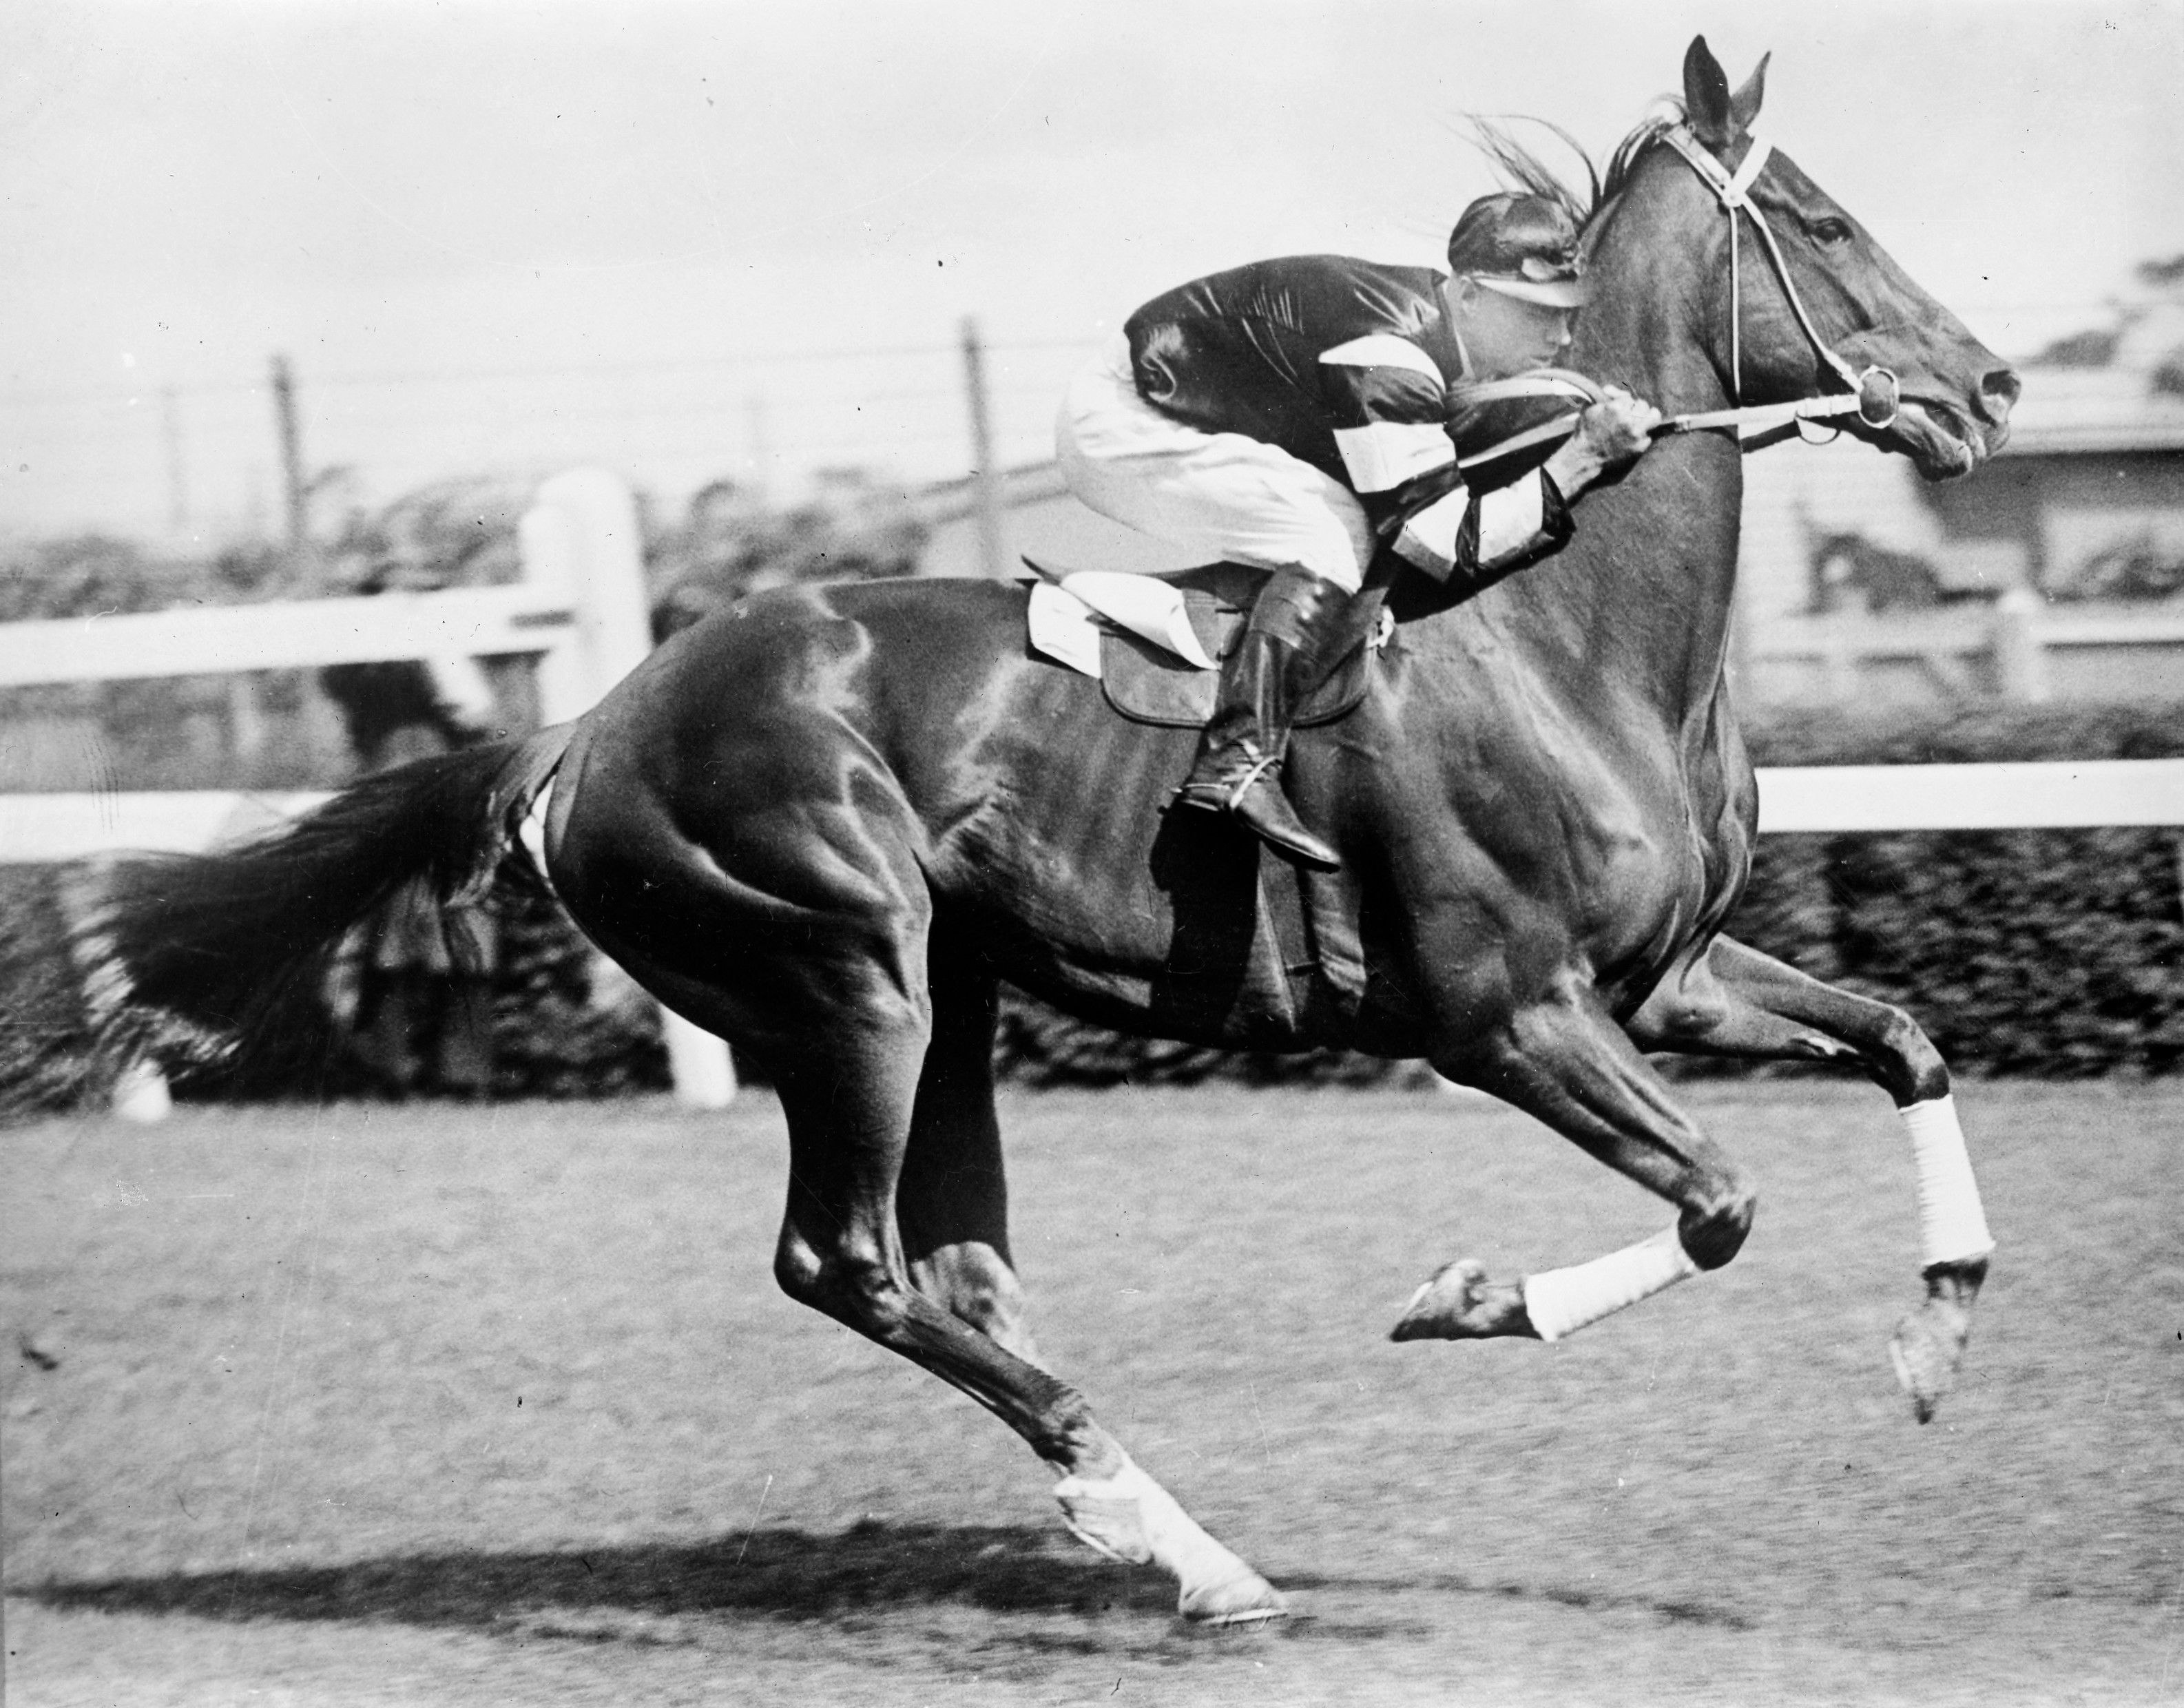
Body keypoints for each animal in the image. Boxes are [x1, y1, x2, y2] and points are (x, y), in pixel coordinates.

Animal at [62, 38, 2017, 1623]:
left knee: (963, 1271)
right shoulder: (1501, 1011)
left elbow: (1905, 1039)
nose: (1991, 389)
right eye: (1826, 220)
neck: (1568, 629)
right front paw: (1467, 1296)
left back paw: (1163, 1534)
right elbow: (1722, 1203)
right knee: (845, 1261)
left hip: (950, 998)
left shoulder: (1666, 977)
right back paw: (1168, 1531)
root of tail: (585, 728)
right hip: (843, 975)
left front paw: (1934, 1330)